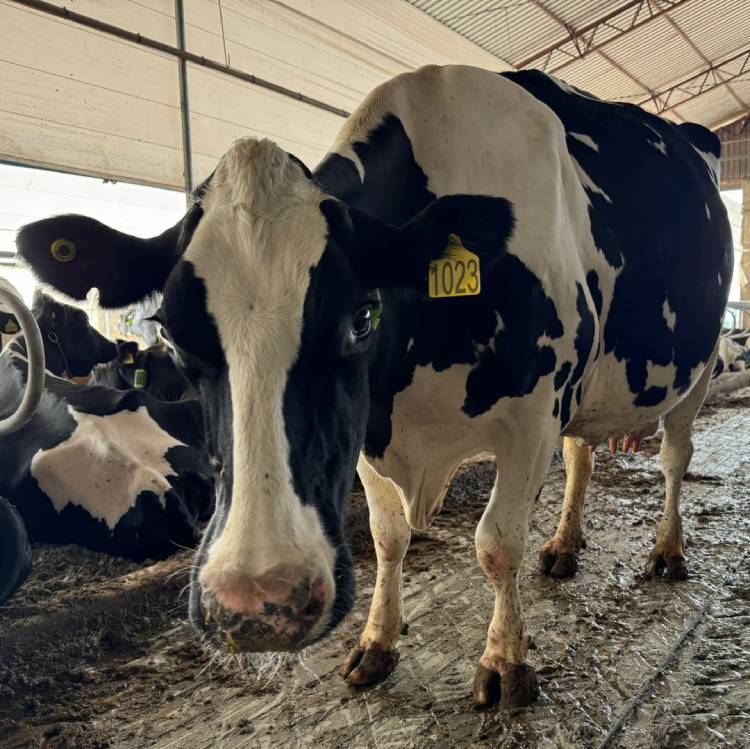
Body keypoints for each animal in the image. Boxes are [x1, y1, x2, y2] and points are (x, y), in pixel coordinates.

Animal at [16, 65, 731, 708]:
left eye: (362, 317)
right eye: (168, 329)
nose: (258, 598)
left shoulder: (532, 419)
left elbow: (497, 544)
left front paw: (505, 663)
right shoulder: (368, 432)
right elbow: (389, 537)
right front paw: (376, 643)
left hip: (696, 371)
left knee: (674, 459)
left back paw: (667, 552)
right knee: (583, 453)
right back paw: (564, 544)